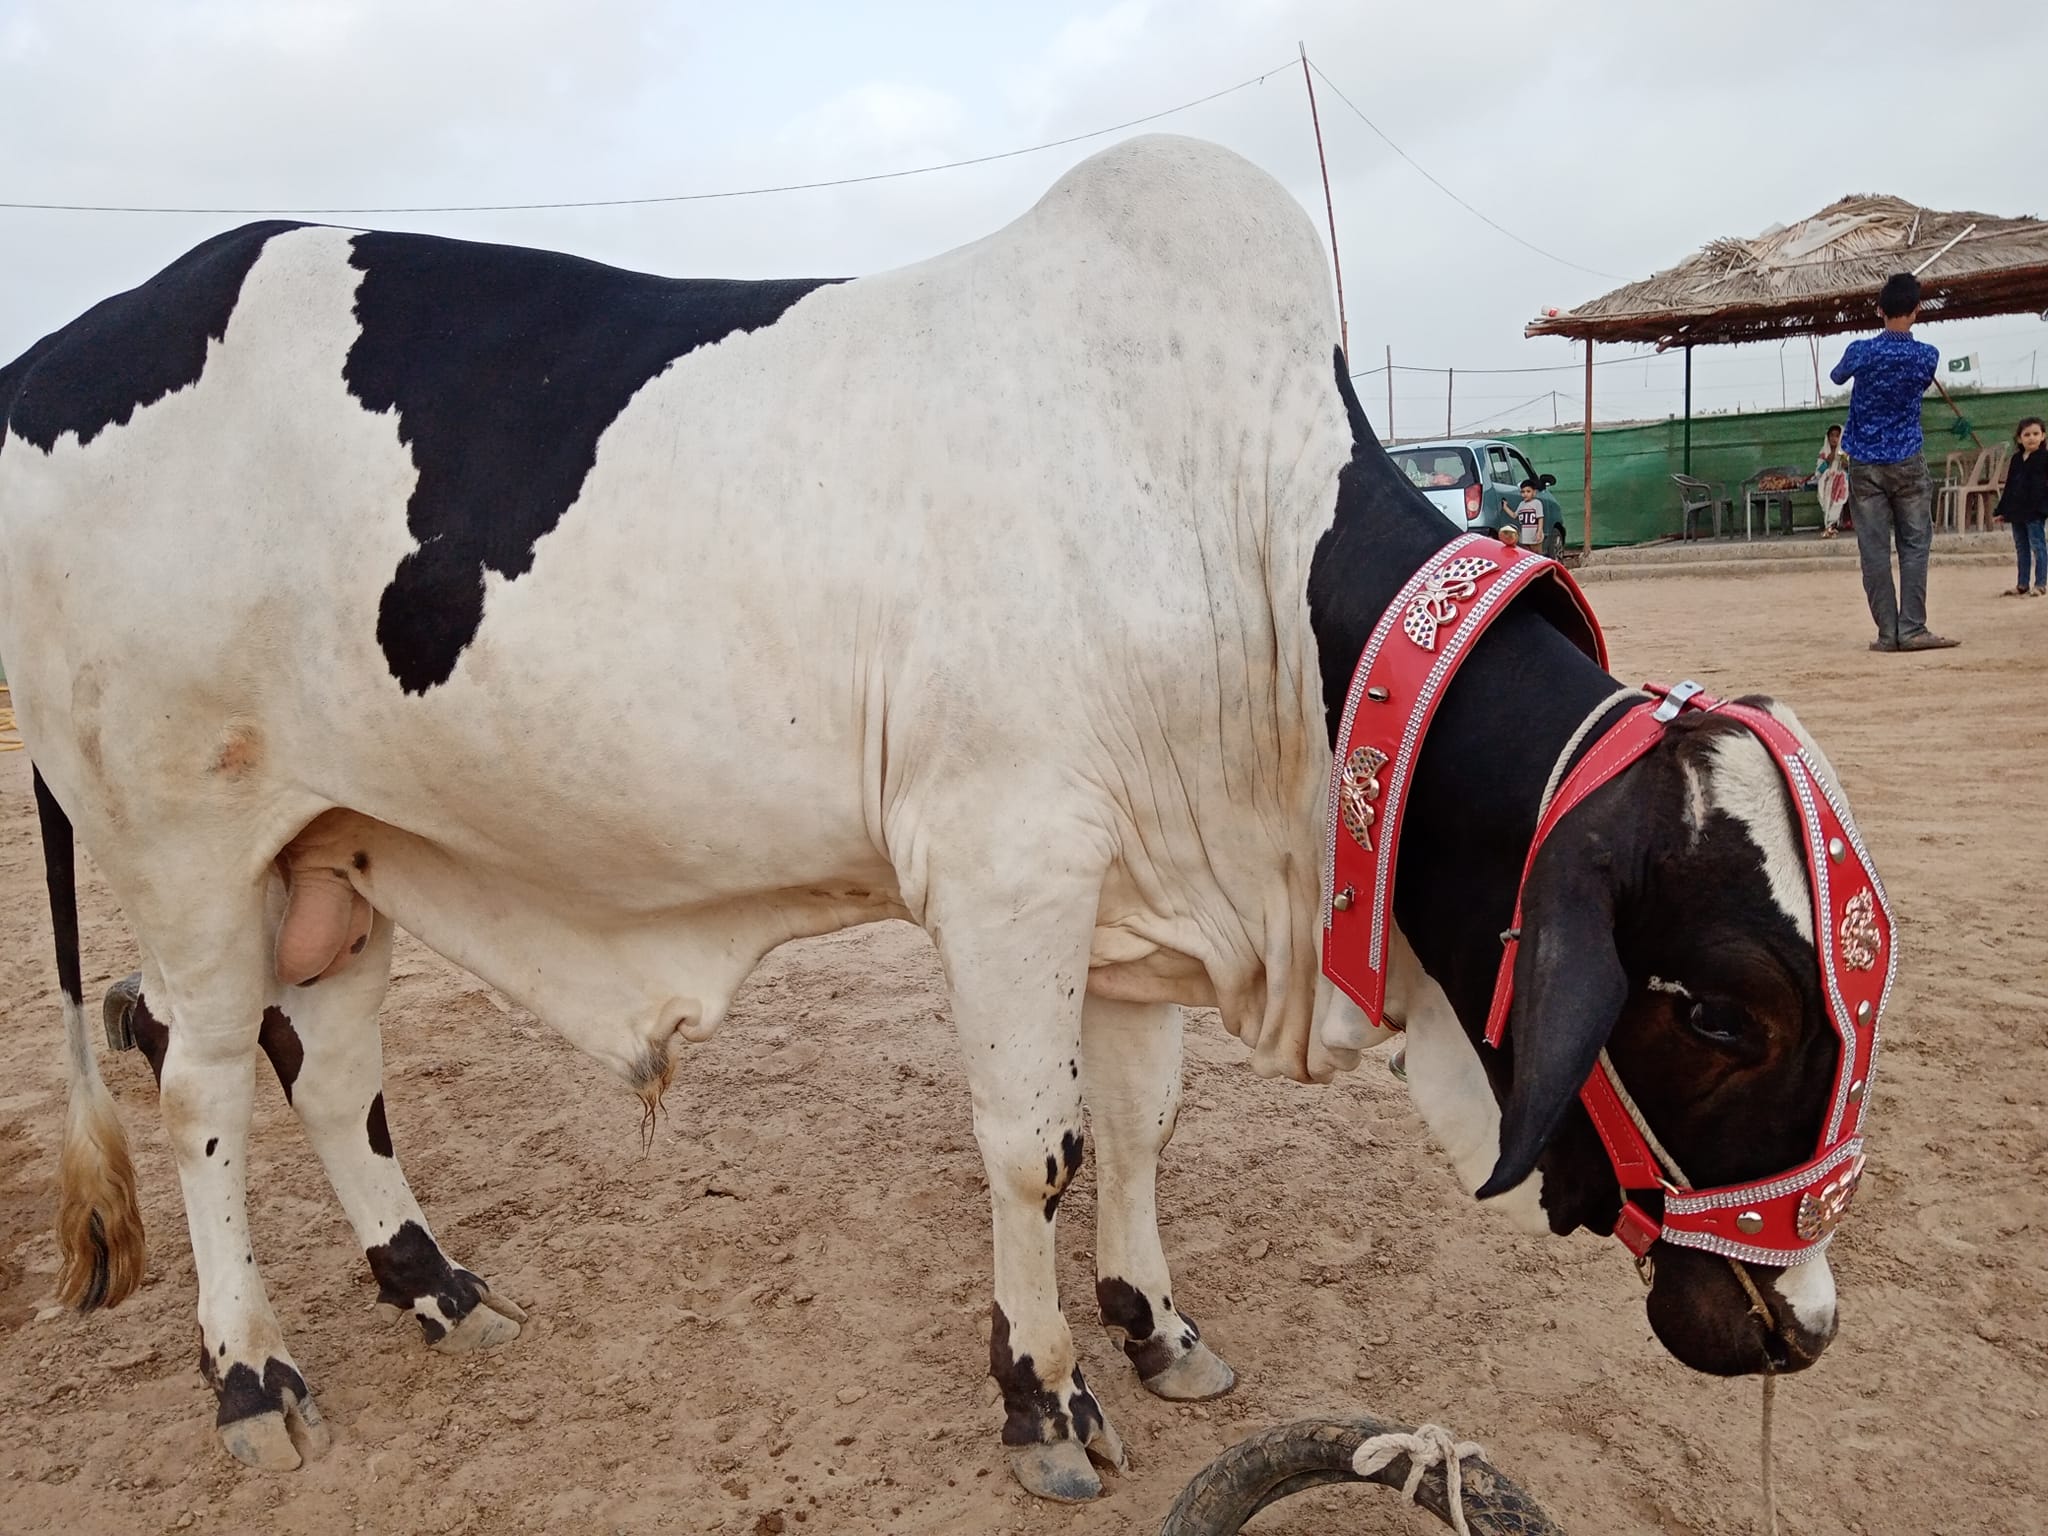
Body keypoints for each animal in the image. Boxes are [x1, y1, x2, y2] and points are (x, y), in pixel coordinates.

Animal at [2, 135, 1870, 1504]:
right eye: (1722, 1011)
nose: (1800, 1329)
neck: (1229, 523)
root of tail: (54, 357)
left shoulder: (1130, 908)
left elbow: (1136, 1133)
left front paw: (1152, 1326)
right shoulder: (1006, 873)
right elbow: (1032, 1148)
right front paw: (1042, 1399)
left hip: (335, 853)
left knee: (330, 1077)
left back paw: (437, 1288)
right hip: (185, 843)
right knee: (197, 1090)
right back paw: (252, 1371)